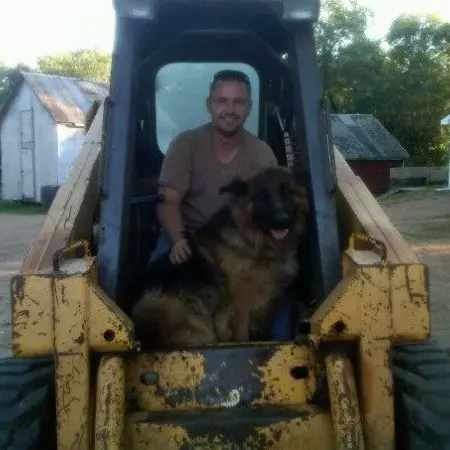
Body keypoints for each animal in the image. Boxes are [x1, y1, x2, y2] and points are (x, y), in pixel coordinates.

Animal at [130, 166, 310, 352]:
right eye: (261, 195)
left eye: (286, 192)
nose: (282, 221)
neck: (252, 241)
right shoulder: (238, 306)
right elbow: (242, 337)